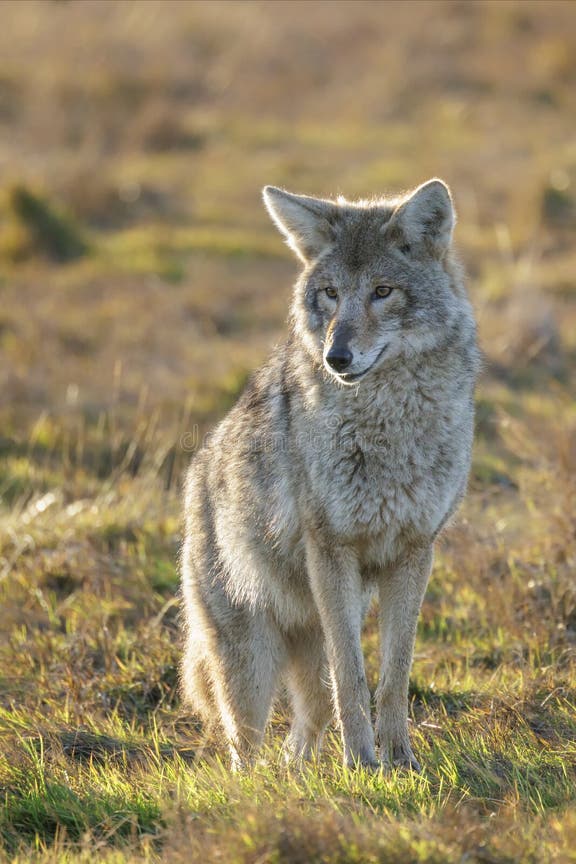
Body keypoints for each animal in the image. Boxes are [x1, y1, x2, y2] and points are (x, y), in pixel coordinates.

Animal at [180, 179, 479, 771]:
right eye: (331, 294)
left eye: (383, 291)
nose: (336, 357)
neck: (389, 424)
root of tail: (195, 476)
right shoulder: (331, 550)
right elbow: (353, 678)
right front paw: (362, 763)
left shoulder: (415, 551)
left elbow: (394, 676)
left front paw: (400, 760)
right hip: (252, 663)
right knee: (244, 748)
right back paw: (262, 782)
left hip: (313, 632)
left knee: (304, 727)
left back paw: (298, 771)